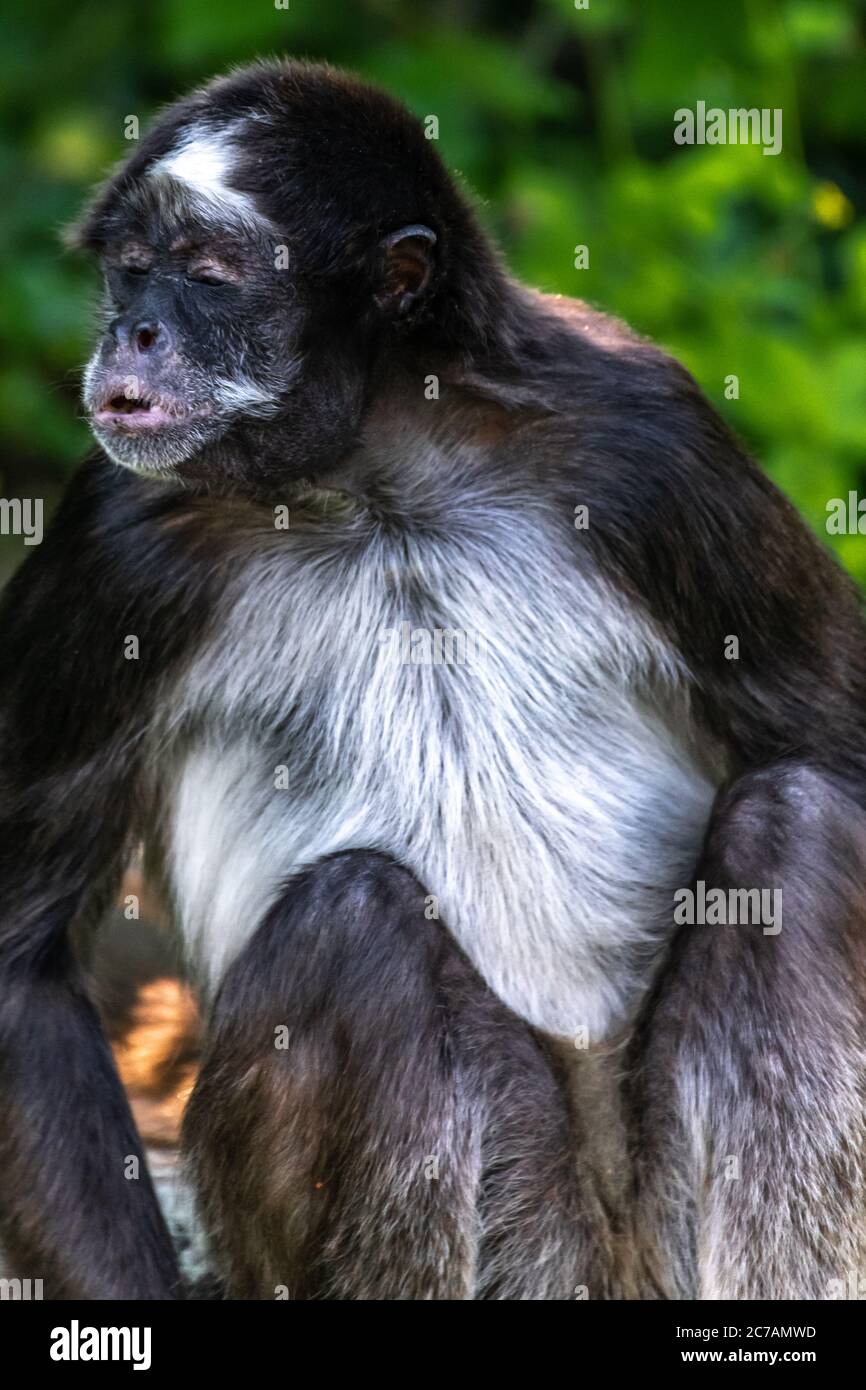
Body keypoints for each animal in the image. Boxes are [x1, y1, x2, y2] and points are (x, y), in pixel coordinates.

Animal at [0, 57, 864, 1301]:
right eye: (127, 269)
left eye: (207, 275)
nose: (135, 334)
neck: (376, 476)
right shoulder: (114, 532)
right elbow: (17, 960)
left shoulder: (645, 430)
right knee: (354, 915)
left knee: (793, 817)